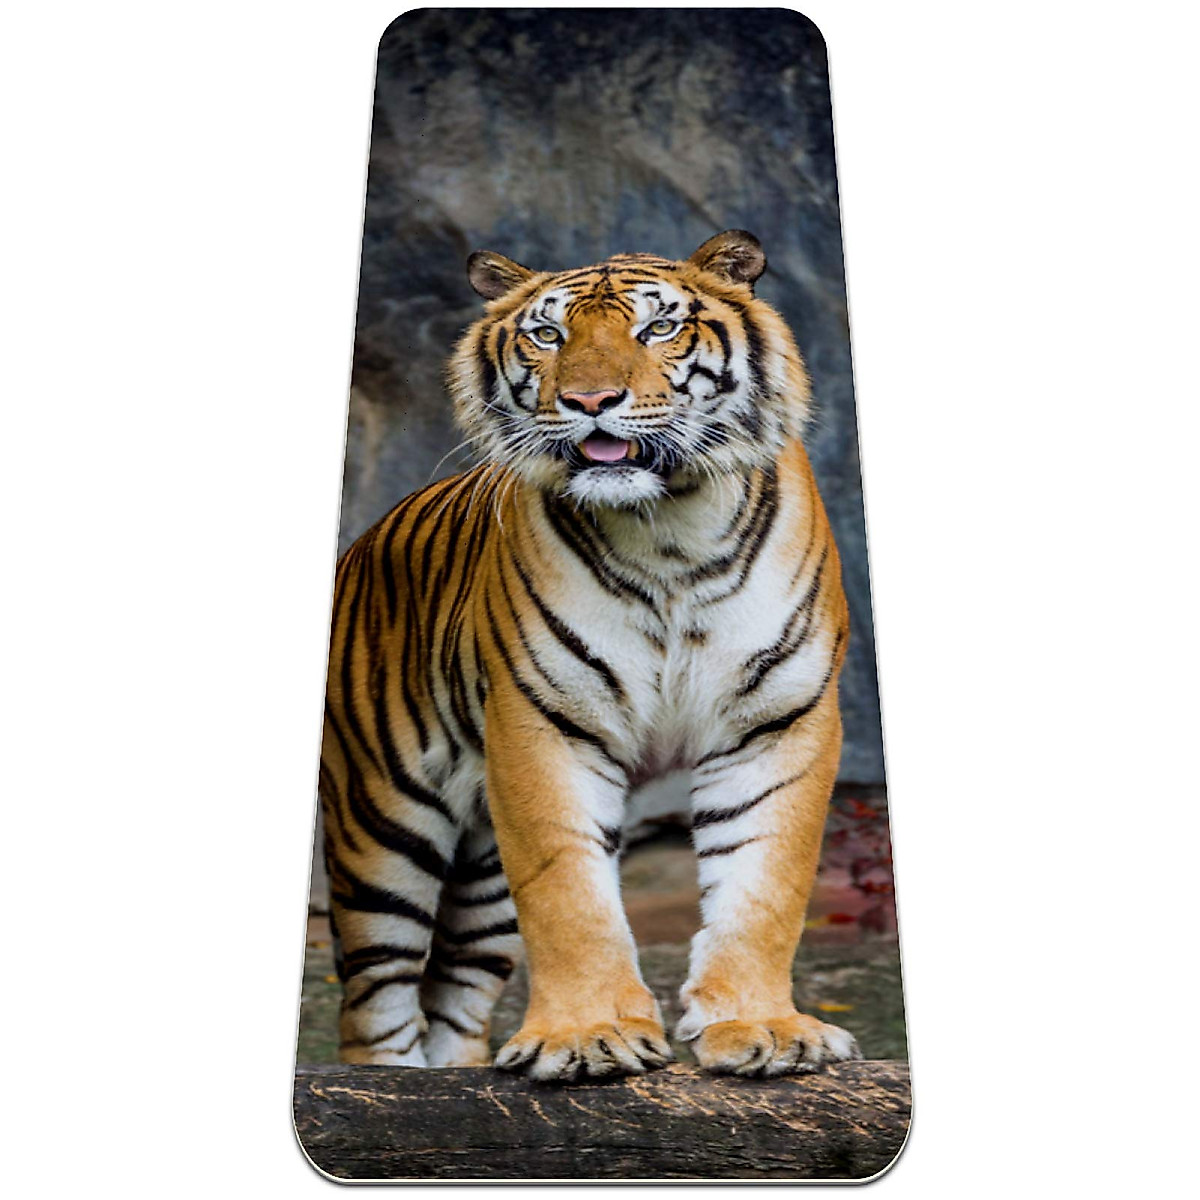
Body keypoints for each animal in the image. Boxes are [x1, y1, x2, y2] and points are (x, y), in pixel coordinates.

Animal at [317, 230, 863, 1081]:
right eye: (548, 335)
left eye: (658, 328)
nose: (590, 402)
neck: (671, 533)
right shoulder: (544, 725)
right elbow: (568, 894)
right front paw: (587, 1036)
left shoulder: (778, 722)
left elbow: (763, 886)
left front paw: (762, 1029)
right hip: (381, 829)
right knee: (376, 1009)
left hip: (481, 879)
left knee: (456, 998)